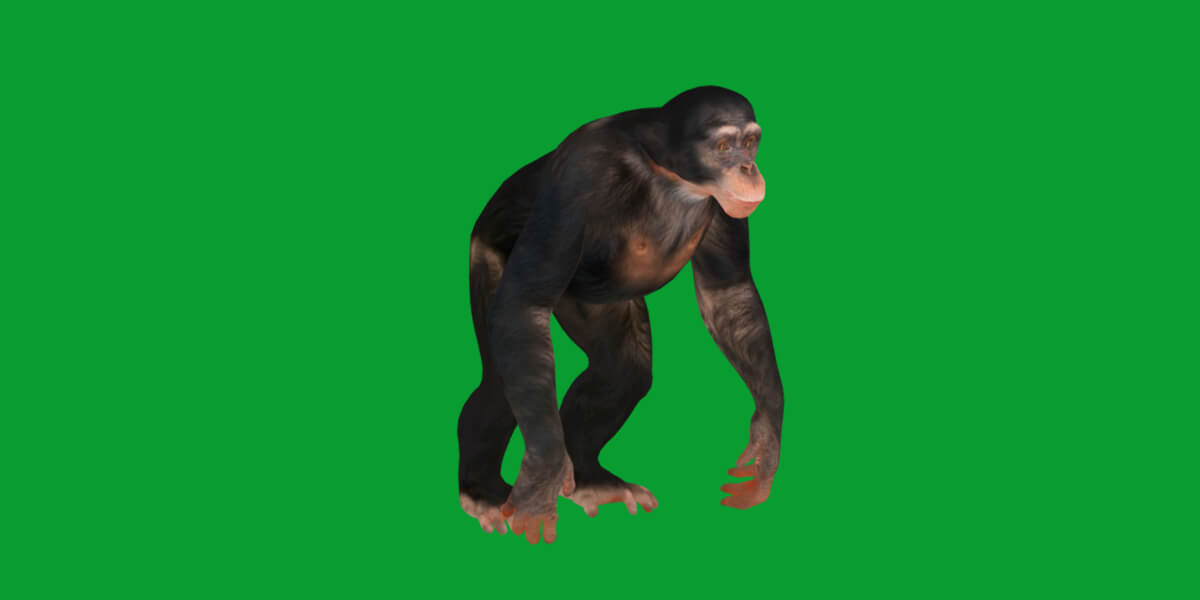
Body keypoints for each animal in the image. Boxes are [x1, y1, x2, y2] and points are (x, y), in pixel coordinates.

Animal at [459, 86, 784, 544]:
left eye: (751, 141)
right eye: (723, 147)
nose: (748, 167)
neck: (668, 174)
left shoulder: (726, 208)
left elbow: (730, 293)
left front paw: (768, 435)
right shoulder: (582, 172)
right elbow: (524, 303)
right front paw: (540, 483)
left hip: (596, 300)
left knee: (622, 369)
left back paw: (592, 481)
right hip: (488, 251)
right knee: (504, 377)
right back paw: (483, 492)